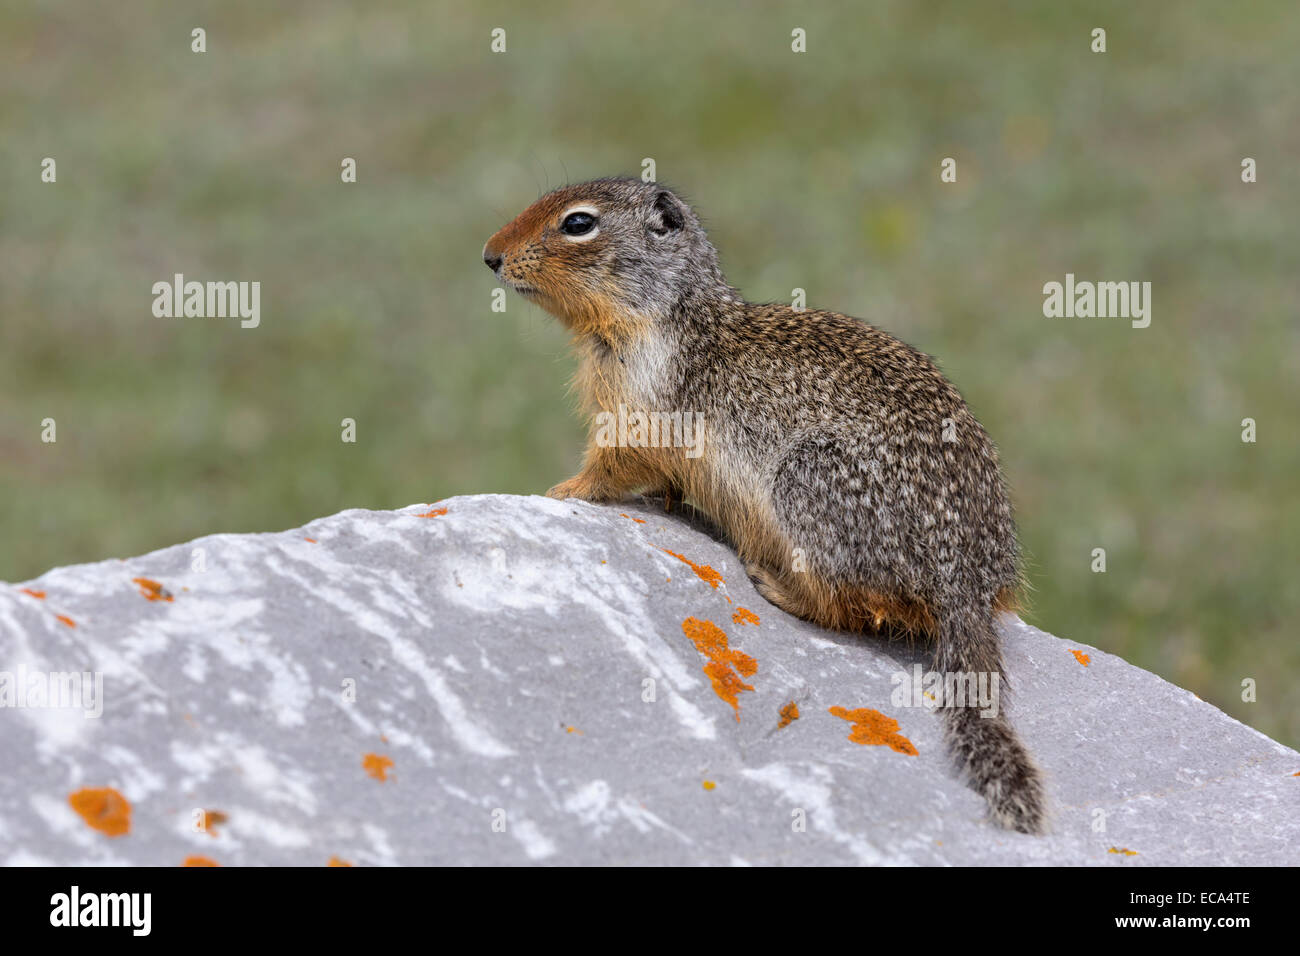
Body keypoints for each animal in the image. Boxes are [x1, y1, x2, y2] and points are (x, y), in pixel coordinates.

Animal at [483, 177, 1047, 833]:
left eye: (578, 223)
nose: (490, 255)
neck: (669, 316)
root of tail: (969, 586)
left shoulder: (640, 412)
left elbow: (613, 465)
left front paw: (563, 490)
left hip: (807, 487)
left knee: (846, 607)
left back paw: (775, 583)